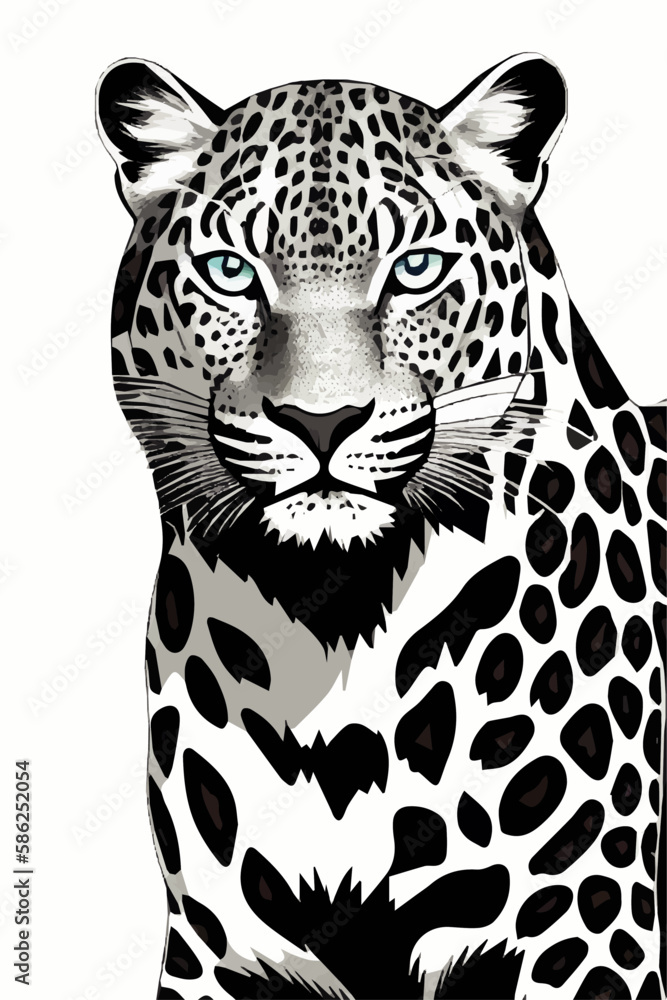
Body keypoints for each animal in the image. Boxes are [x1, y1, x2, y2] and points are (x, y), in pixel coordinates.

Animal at [95, 53, 666, 999]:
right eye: (230, 272)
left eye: (417, 269)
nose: (320, 422)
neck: (335, 626)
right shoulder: (220, 950)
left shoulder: (583, 932)